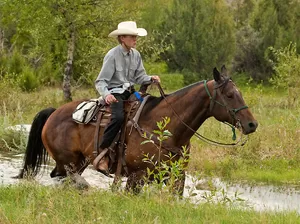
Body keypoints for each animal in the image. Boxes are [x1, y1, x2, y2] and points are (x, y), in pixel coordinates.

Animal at [17, 65, 258, 193]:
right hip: (69, 163)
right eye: (229, 95)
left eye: (239, 93)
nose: (252, 124)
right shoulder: (136, 177)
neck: (167, 130)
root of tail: (54, 113)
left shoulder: (177, 177)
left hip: (78, 163)